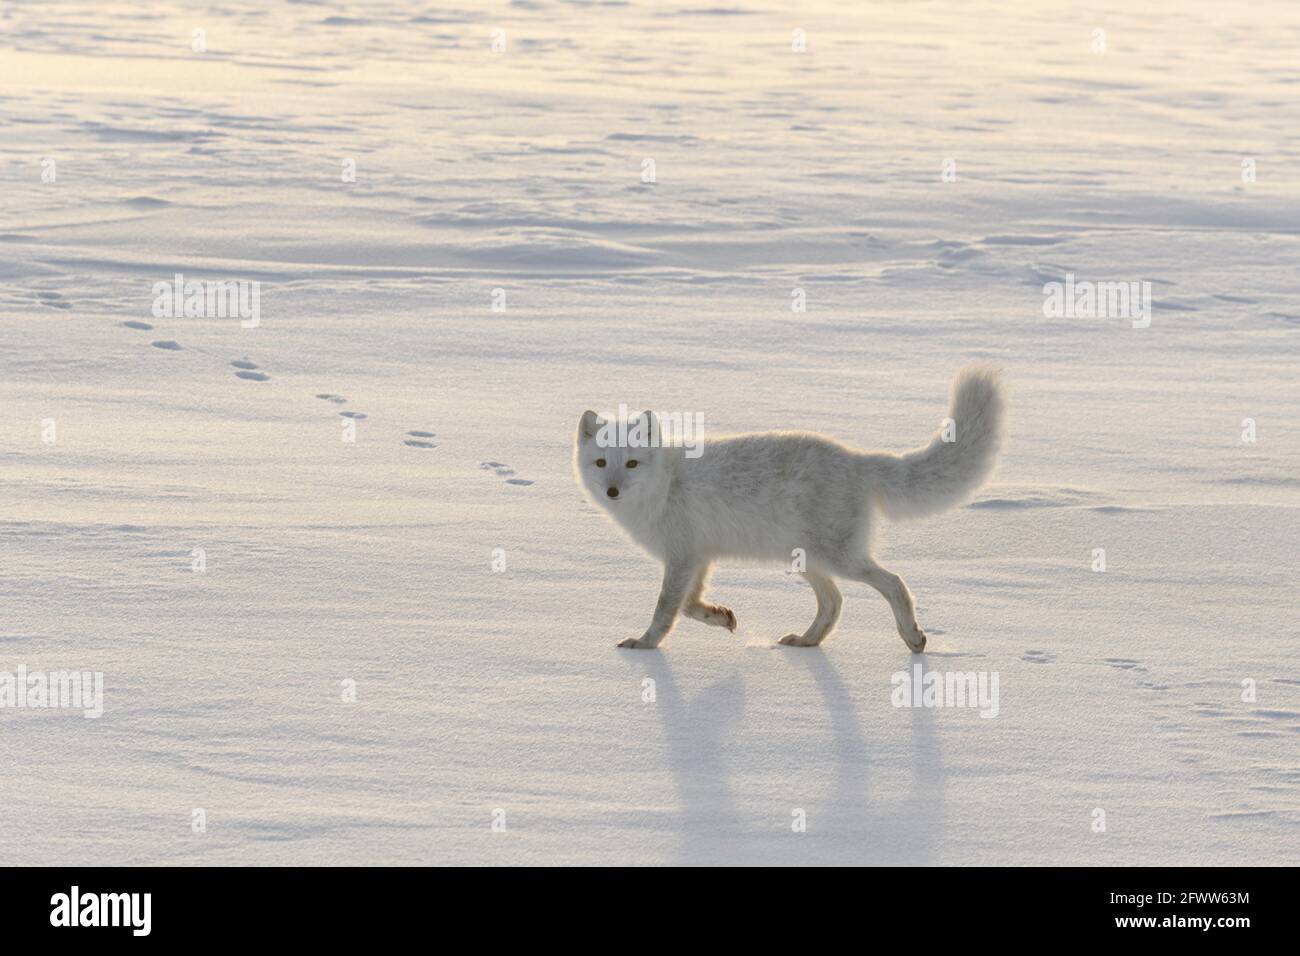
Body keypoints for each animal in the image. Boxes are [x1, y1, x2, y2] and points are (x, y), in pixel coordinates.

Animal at [573, 365, 1006, 651]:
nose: (612, 491)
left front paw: (645, 645)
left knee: (893, 583)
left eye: (632, 463)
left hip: (839, 558)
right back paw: (806, 641)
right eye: (601, 462)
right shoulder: (699, 557)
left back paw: (912, 637)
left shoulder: (681, 557)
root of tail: (856, 459)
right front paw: (720, 616)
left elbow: (667, 610)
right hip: (807, 559)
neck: (666, 484)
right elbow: (691, 607)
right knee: (834, 603)